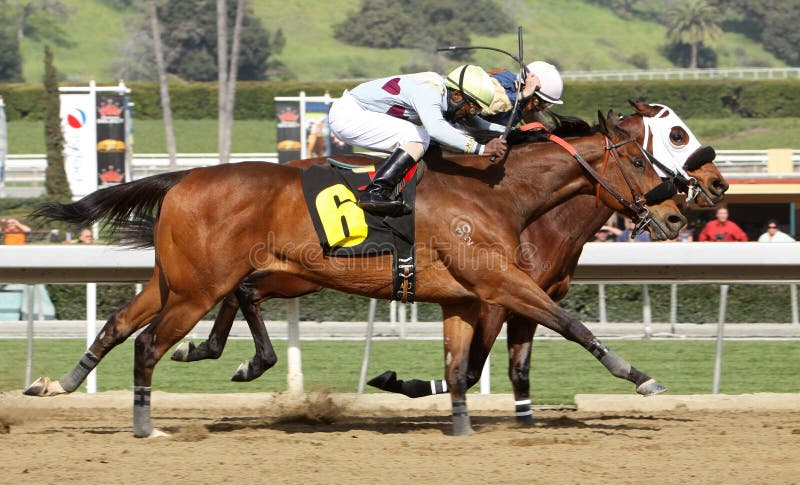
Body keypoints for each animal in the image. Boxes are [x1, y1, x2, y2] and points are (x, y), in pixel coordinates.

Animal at [25, 109, 685, 437]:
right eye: (640, 159)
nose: (677, 214)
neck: (495, 190)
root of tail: (183, 178)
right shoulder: (500, 284)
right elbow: (571, 325)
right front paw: (640, 376)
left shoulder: (463, 299)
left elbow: (461, 369)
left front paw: (456, 426)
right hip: (198, 287)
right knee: (148, 345)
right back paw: (146, 425)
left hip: (176, 280)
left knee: (118, 325)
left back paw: (57, 383)